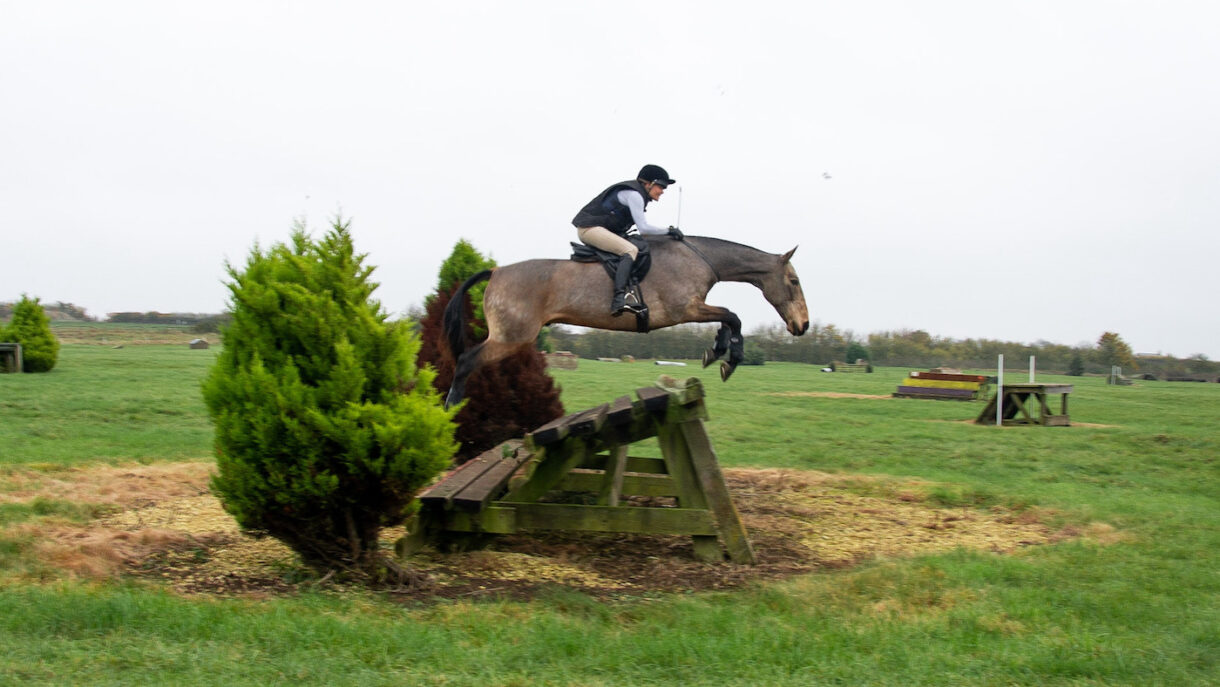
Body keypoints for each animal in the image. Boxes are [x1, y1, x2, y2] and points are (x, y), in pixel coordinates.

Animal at [443, 235, 810, 408]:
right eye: (794, 282)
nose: (802, 326)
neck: (699, 259)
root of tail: (496, 271)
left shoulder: (693, 309)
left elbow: (729, 320)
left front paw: (717, 352)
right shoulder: (685, 309)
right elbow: (733, 317)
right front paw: (727, 360)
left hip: (511, 338)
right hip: (511, 337)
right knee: (466, 360)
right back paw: (452, 410)